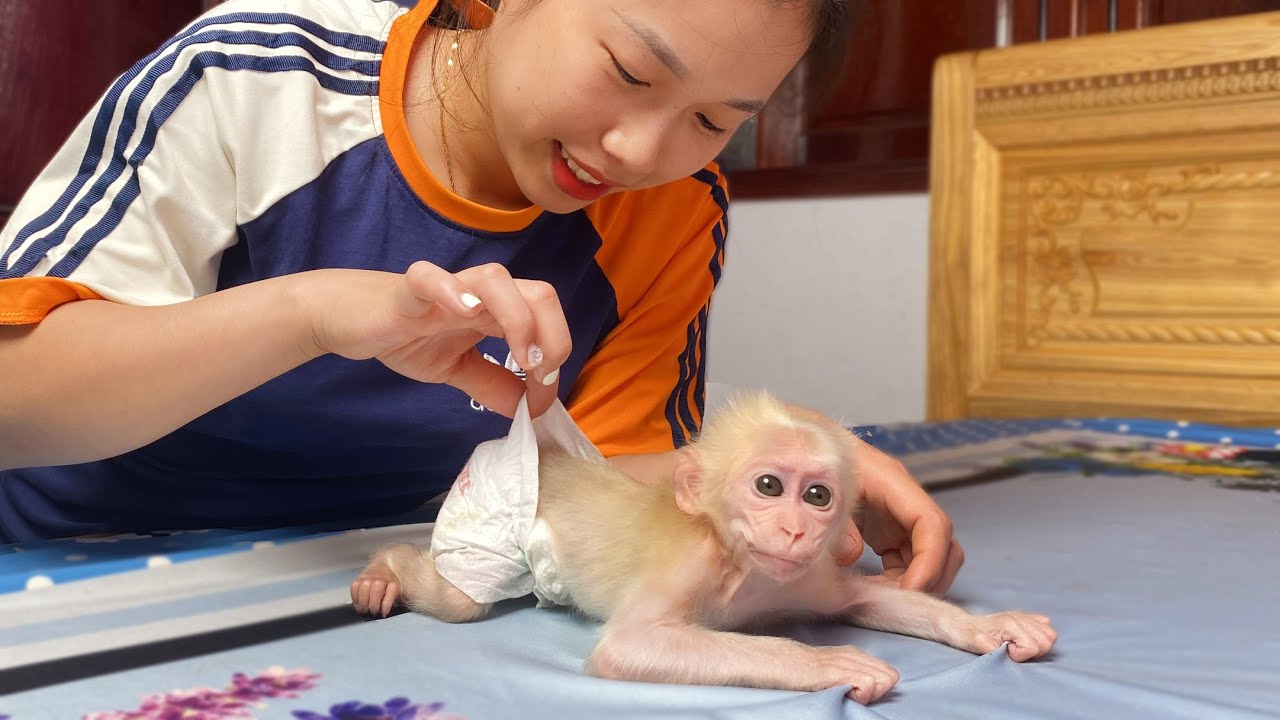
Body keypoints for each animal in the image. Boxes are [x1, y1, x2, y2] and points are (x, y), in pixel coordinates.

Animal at [351, 391, 1057, 705]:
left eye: (818, 496)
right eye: (769, 486)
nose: (795, 530)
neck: (745, 568)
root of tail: (542, 451)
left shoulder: (803, 575)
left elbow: (863, 598)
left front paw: (993, 626)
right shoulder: (695, 562)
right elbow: (628, 646)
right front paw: (826, 663)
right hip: (489, 496)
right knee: (458, 598)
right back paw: (385, 569)